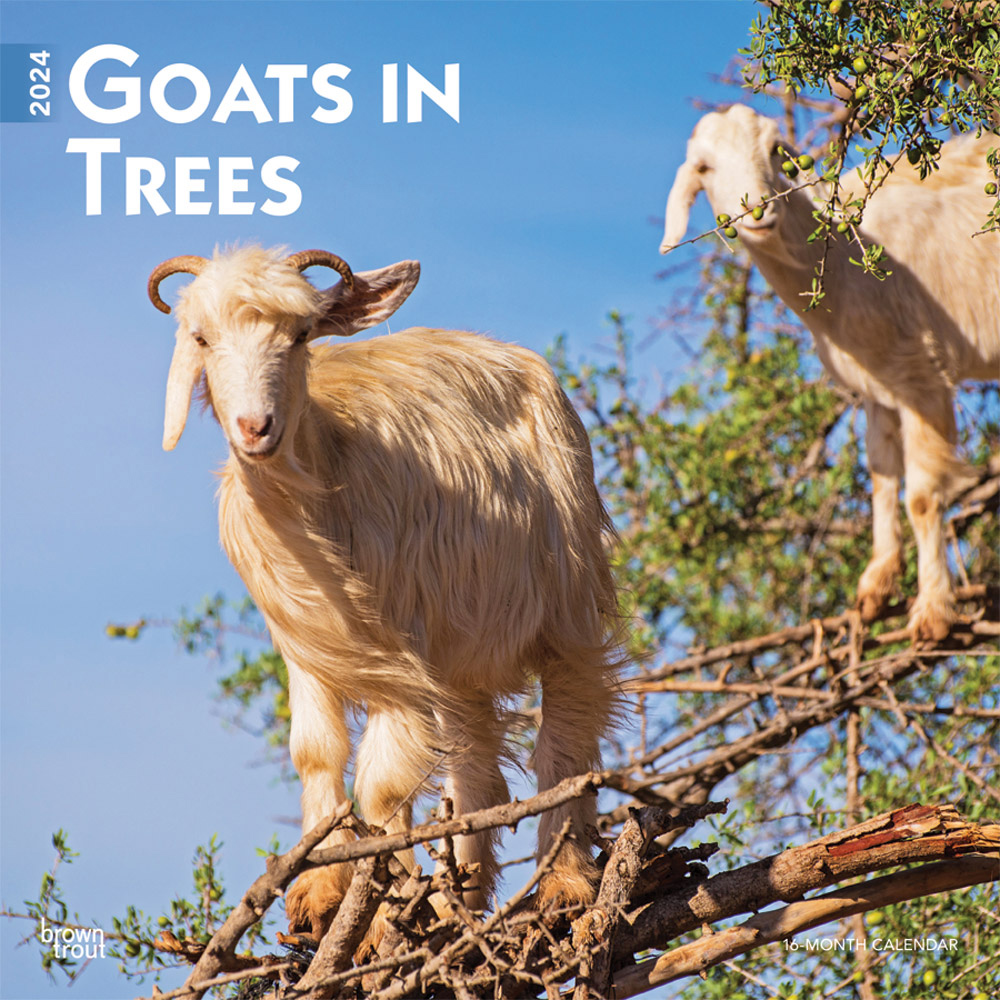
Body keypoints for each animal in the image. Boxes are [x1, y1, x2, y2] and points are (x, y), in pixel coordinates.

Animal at [147, 245, 621, 938]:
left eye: (301, 335)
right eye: (202, 338)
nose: (255, 427)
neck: (323, 481)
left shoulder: (402, 645)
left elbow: (383, 786)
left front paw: (373, 922)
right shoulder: (307, 644)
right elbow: (317, 754)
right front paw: (319, 898)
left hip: (568, 596)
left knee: (565, 733)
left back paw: (563, 885)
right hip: (459, 657)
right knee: (477, 769)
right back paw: (461, 899)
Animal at [661, 105, 999, 641]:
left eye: (774, 150)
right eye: (704, 168)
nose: (759, 212)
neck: (842, 260)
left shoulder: (921, 375)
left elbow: (922, 497)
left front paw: (932, 612)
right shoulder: (879, 384)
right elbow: (881, 477)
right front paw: (875, 589)